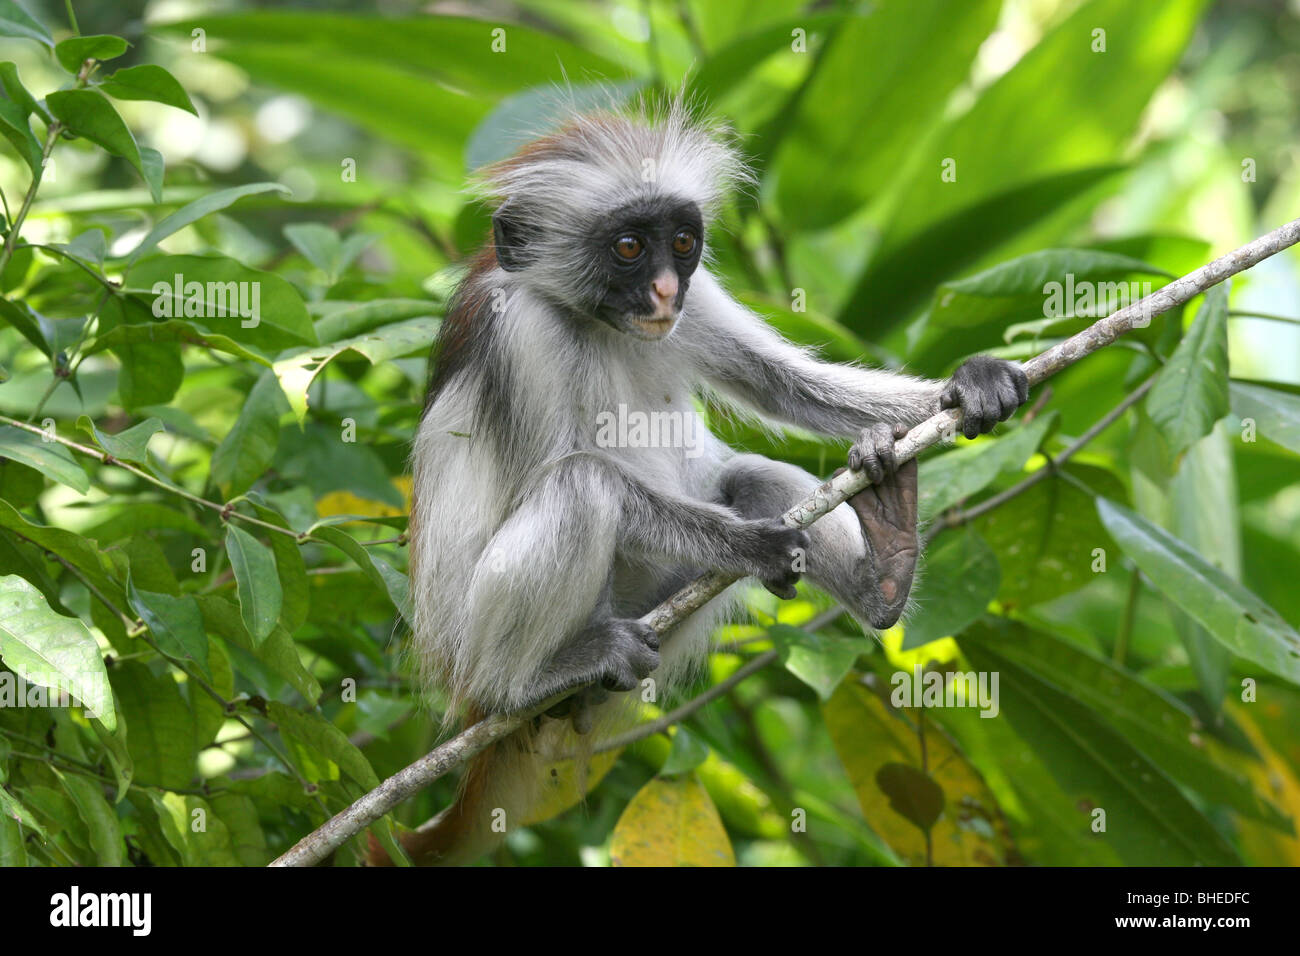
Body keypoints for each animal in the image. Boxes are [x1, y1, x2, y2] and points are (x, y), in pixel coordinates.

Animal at [380, 103, 1028, 865]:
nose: (666, 289)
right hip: (476, 639)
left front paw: (965, 385)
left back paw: (887, 569)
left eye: (683, 243)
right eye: (630, 246)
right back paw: (525, 684)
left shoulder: (699, 299)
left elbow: (784, 385)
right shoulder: (521, 333)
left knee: (747, 475)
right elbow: (559, 470)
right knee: (581, 485)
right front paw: (753, 548)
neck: (599, 323)